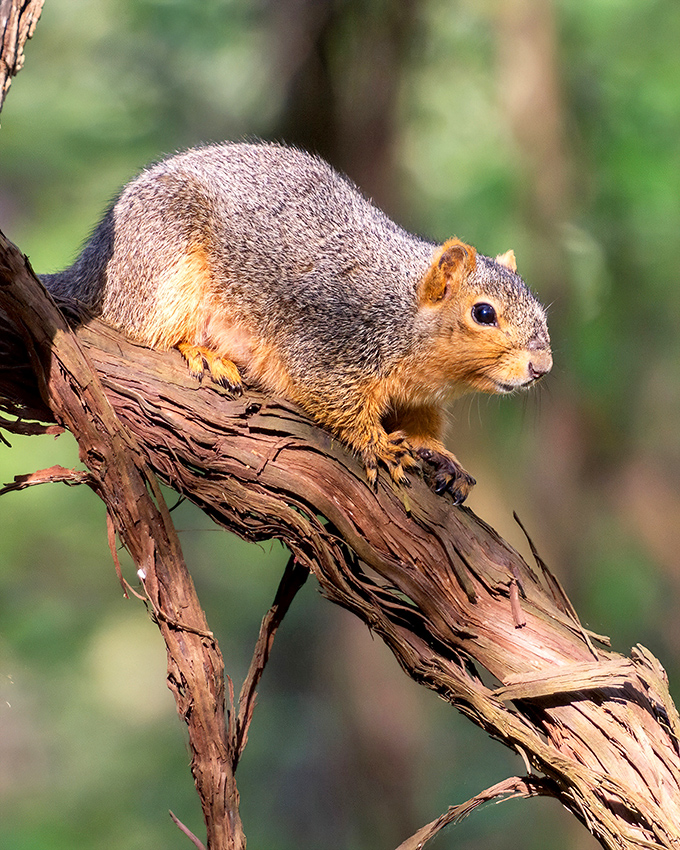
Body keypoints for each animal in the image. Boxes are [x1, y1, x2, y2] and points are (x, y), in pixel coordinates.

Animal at [41, 141, 552, 503]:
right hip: (163, 262)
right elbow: (332, 397)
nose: (541, 367)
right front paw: (377, 443)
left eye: (541, 310)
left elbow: (421, 423)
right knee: (145, 329)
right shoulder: (332, 343)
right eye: (483, 313)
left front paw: (441, 455)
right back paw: (203, 353)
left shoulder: (418, 396)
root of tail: (92, 266)